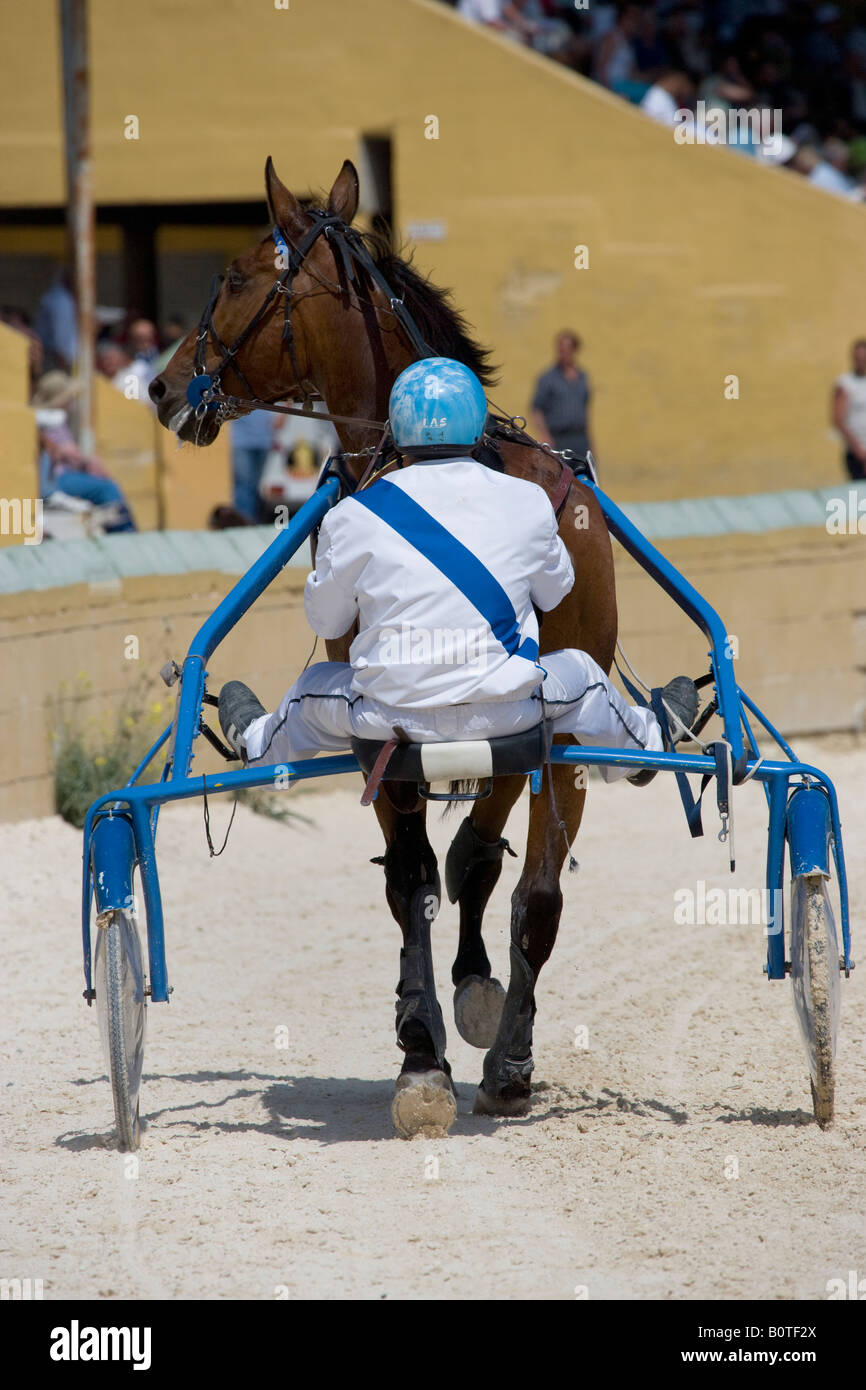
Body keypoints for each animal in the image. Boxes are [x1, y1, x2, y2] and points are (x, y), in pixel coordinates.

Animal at [149, 158, 618, 1135]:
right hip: (541, 737)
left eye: (232, 278)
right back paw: (498, 1041)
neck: (441, 451)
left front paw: (421, 1047)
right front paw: (444, 1027)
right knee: (507, 879)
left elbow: (417, 882)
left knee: (480, 878)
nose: (163, 388)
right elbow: (449, 872)